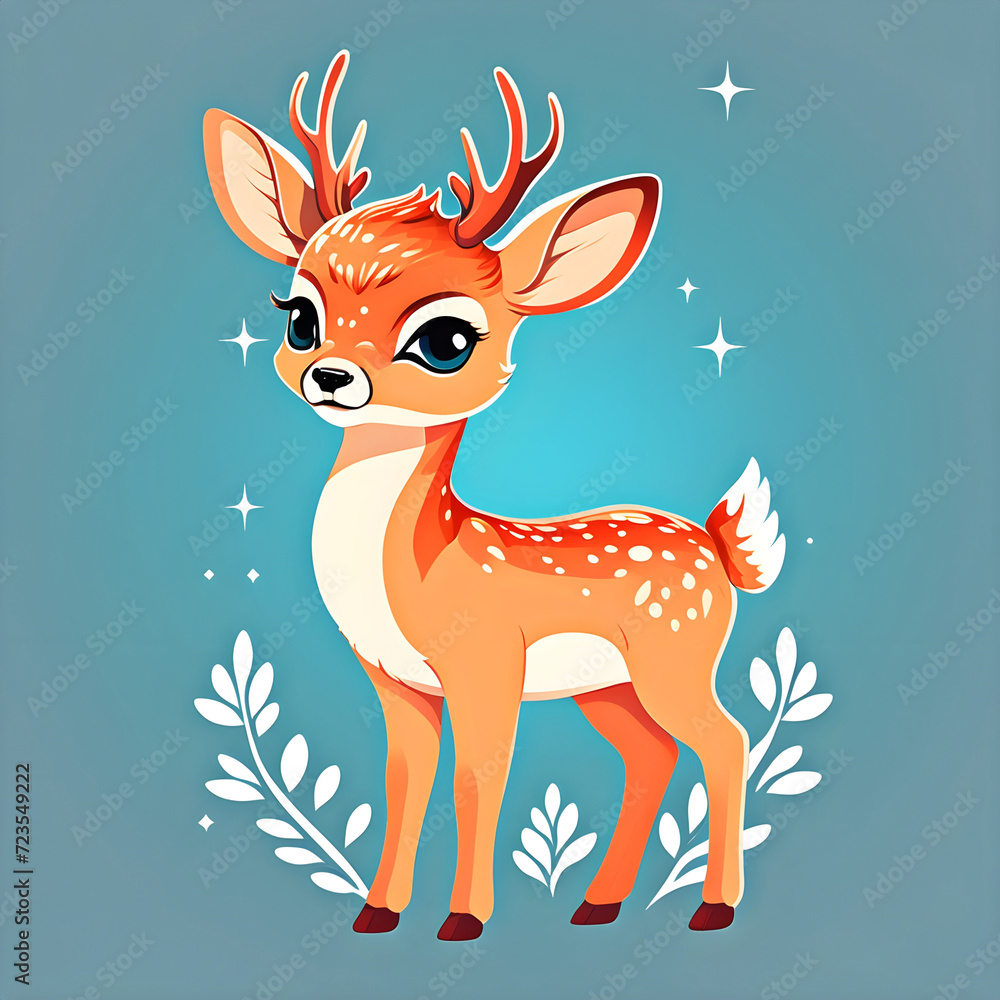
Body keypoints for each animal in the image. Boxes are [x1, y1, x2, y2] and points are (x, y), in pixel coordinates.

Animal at [203, 51, 785, 942]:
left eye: (446, 340)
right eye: (298, 315)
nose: (331, 376)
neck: (420, 565)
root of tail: (717, 549)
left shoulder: (486, 660)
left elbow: (479, 778)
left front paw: (463, 921)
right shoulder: (394, 679)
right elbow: (405, 781)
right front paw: (378, 913)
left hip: (675, 652)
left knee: (724, 741)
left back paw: (713, 909)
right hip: (607, 684)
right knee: (652, 755)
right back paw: (598, 904)